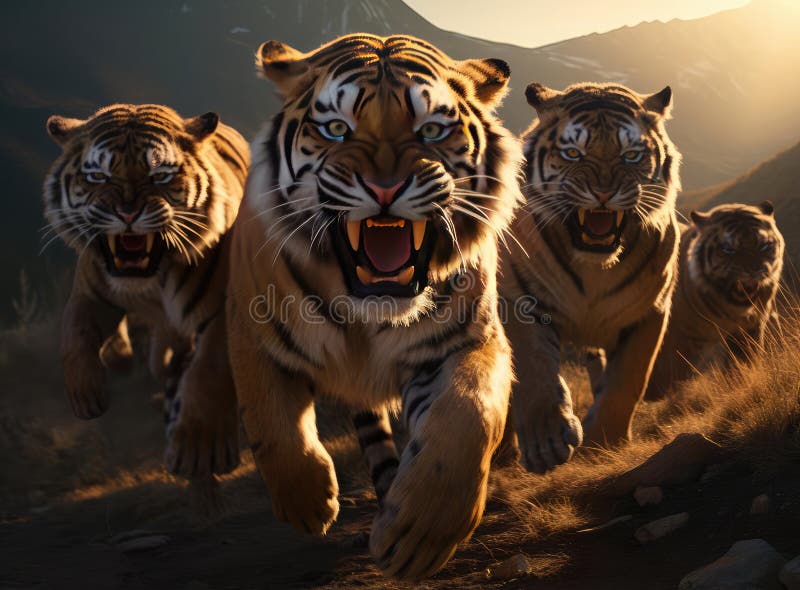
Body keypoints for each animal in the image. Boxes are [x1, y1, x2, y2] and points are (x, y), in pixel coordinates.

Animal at [43, 104, 249, 477]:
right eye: (98, 176)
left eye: (160, 176)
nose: (127, 213)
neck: (150, 283)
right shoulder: (91, 295)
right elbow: (73, 334)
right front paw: (87, 396)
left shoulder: (224, 309)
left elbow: (208, 369)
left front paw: (200, 447)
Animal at [225, 34, 522, 580]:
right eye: (336, 129)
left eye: (431, 130)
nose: (386, 189)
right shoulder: (251, 331)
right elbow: (271, 422)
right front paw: (307, 503)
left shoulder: (467, 340)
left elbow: (467, 417)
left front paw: (417, 538)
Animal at [499, 82, 682, 473]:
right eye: (572, 153)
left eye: (631, 155)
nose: (603, 193)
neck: (594, 266)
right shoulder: (519, 300)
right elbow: (534, 368)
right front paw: (547, 444)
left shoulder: (649, 312)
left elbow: (628, 381)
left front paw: (604, 445)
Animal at [646, 201, 784, 398]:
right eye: (728, 249)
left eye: (764, 246)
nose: (754, 271)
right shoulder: (676, 337)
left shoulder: (749, 330)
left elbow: (742, 363)